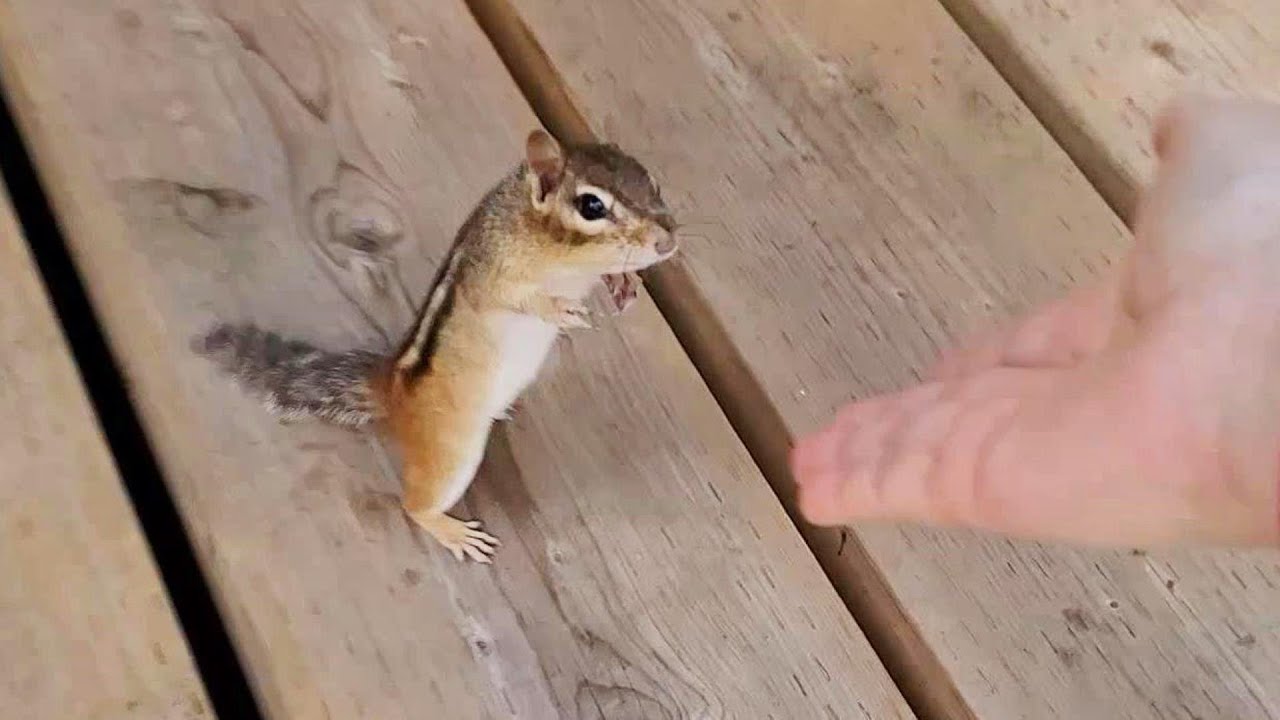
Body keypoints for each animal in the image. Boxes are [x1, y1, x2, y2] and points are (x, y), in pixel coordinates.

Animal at [193, 129, 678, 563]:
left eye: (652, 181)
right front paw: (562, 310)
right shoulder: (496, 274)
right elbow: (523, 299)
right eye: (591, 205)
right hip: (452, 456)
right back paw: (450, 530)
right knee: (413, 505)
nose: (668, 241)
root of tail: (392, 388)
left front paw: (623, 282)